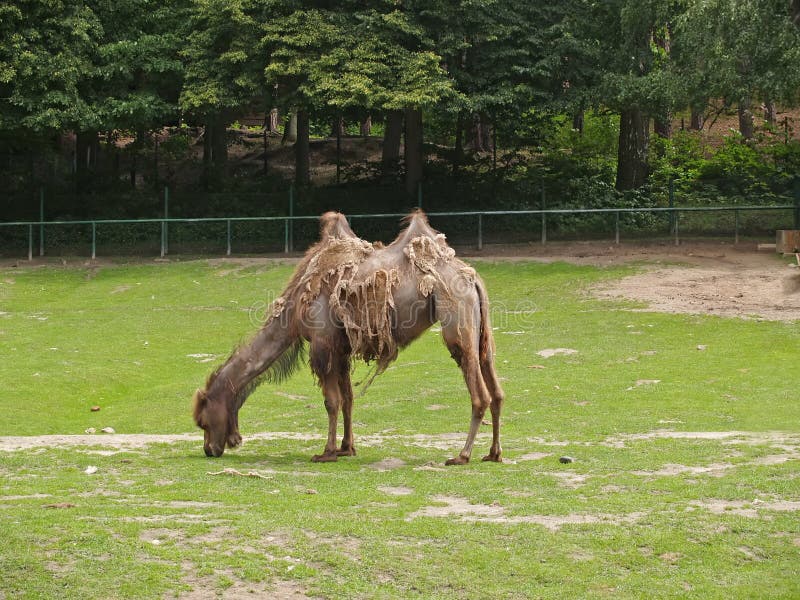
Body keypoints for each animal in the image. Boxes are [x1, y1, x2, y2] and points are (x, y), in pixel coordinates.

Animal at [193, 210, 504, 465]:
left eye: (203, 421)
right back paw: (493, 454)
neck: (294, 307)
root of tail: (472, 278)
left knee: (479, 393)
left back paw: (462, 455)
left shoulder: (322, 343)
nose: (210, 449)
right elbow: (348, 398)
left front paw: (326, 452)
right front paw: (346, 448)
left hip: (456, 319)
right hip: (481, 331)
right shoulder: (340, 347)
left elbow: (331, 401)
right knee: (496, 388)